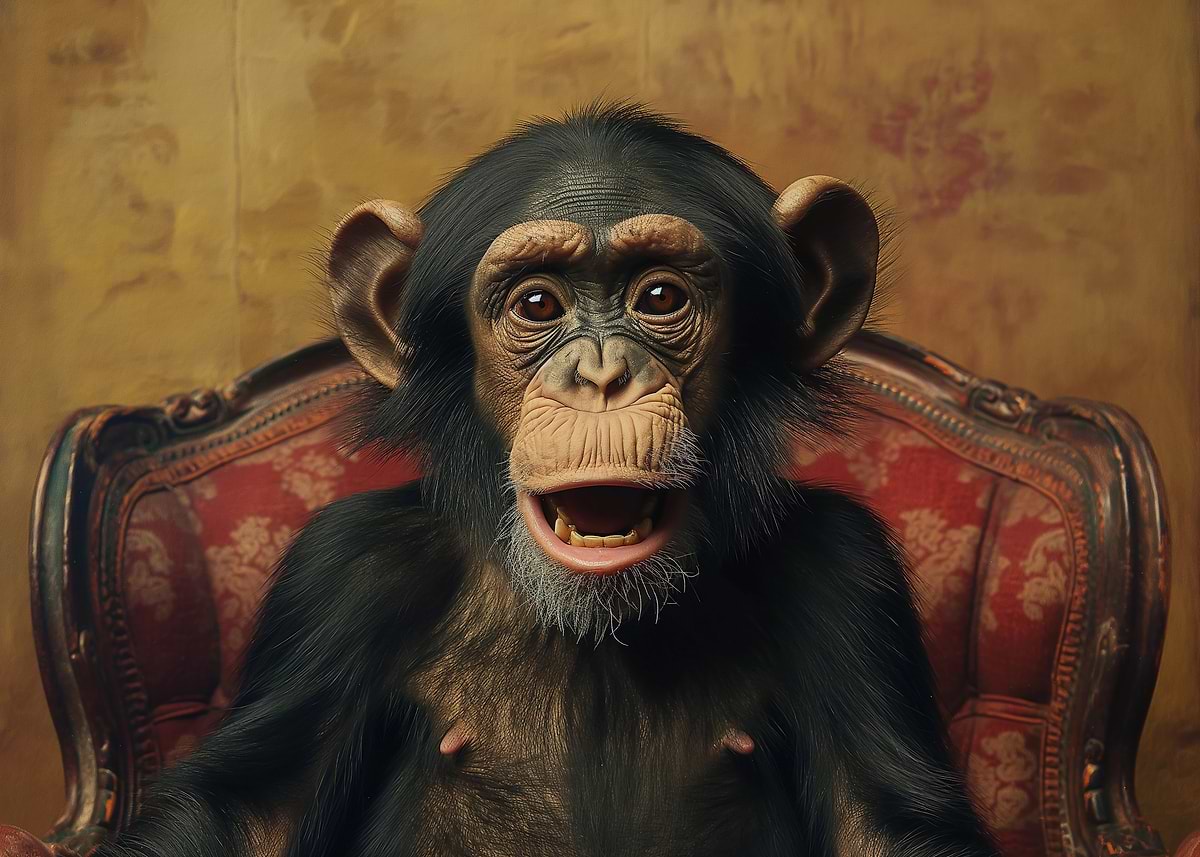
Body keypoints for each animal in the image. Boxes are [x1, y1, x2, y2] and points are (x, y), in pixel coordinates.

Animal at [96, 103, 996, 857]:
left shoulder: (845, 574)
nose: (600, 375)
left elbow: (881, 826)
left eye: (659, 295)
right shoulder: (343, 572)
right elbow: (248, 815)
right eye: (537, 305)